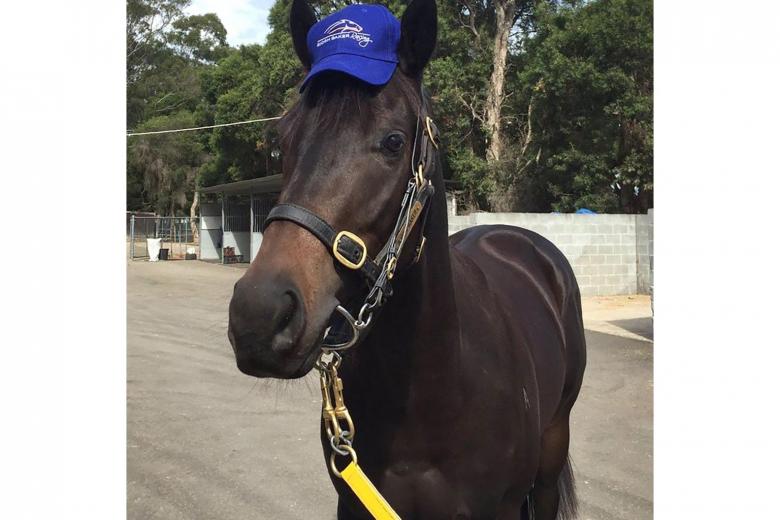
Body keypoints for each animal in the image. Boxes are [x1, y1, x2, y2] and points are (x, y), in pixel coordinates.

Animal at [227, 1, 587, 518]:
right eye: (283, 140)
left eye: (394, 141)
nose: (259, 314)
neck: (433, 392)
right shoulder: (357, 503)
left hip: (551, 455)